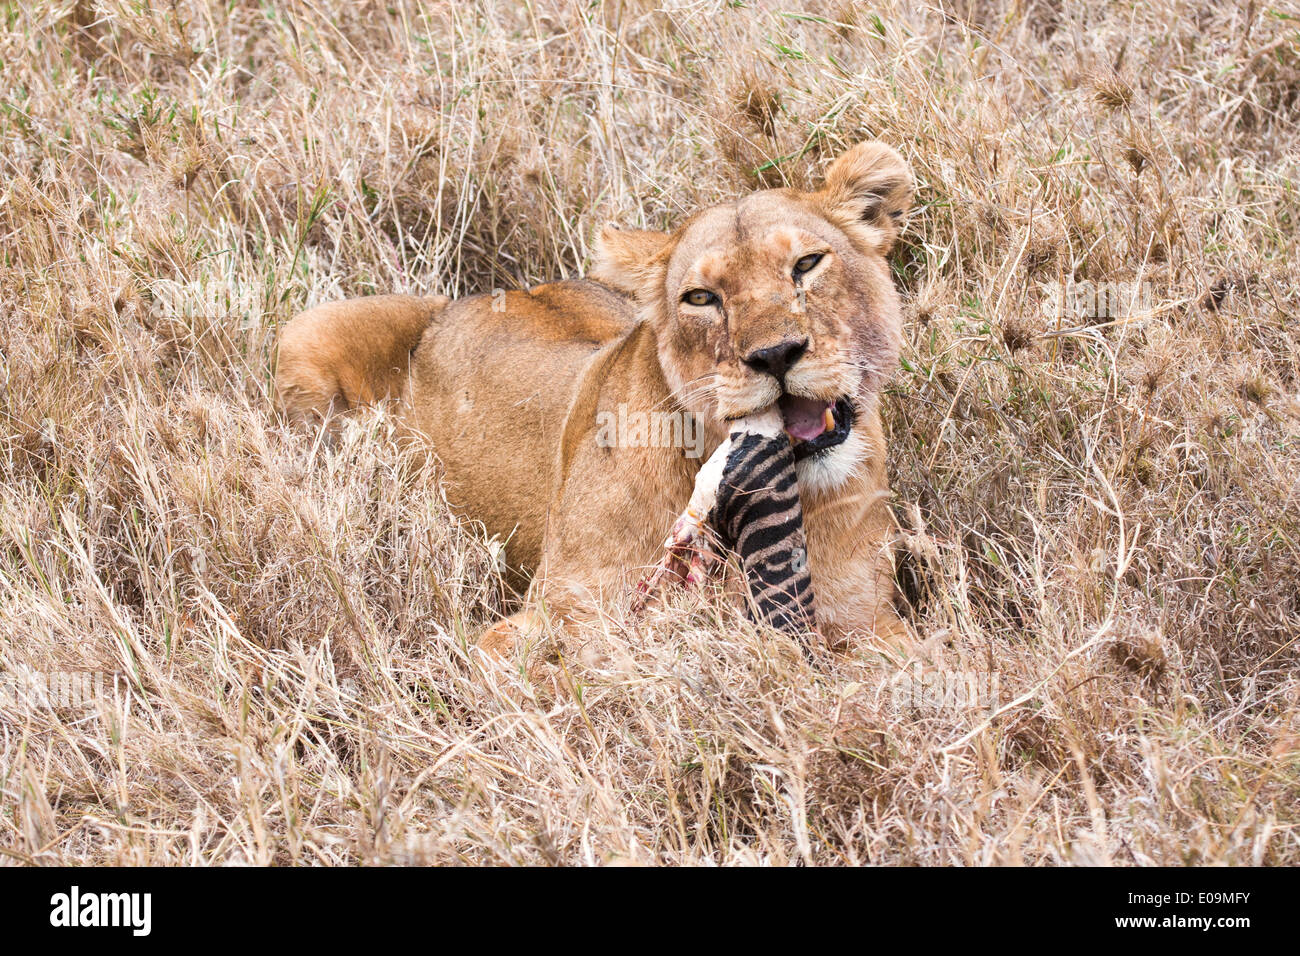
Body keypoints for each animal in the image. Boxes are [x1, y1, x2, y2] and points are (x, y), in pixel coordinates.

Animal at [275, 140, 913, 656]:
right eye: (701, 298)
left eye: (807, 263)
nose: (776, 355)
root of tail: (495, 291)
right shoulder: (530, 626)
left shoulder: (874, 622)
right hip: (304, 333)